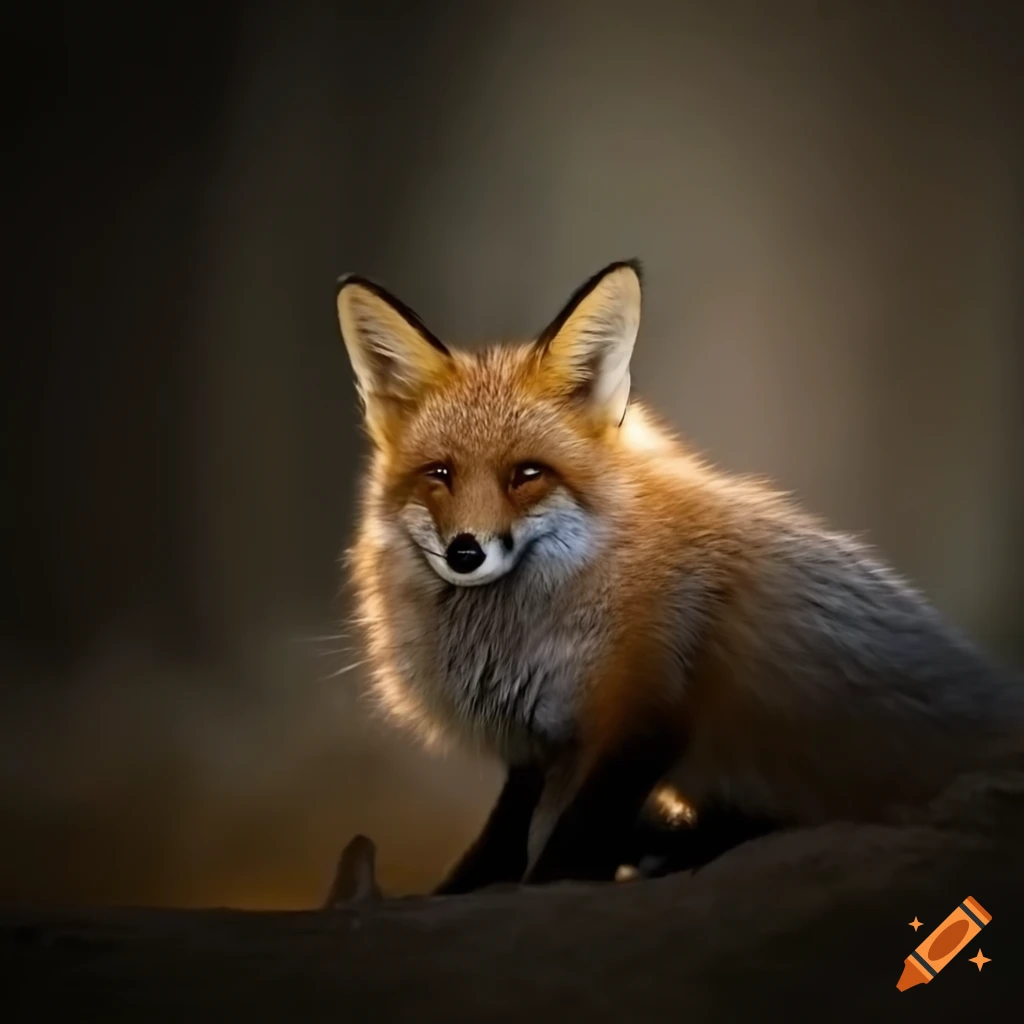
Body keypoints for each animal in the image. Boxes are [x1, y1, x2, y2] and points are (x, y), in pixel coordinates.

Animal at [335, 259, 1024, 893]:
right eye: (440, 474)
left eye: (527, 475)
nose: (466, 553)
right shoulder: (536, 745)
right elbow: (502, 843)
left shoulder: (645, 709)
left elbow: (569, 846)